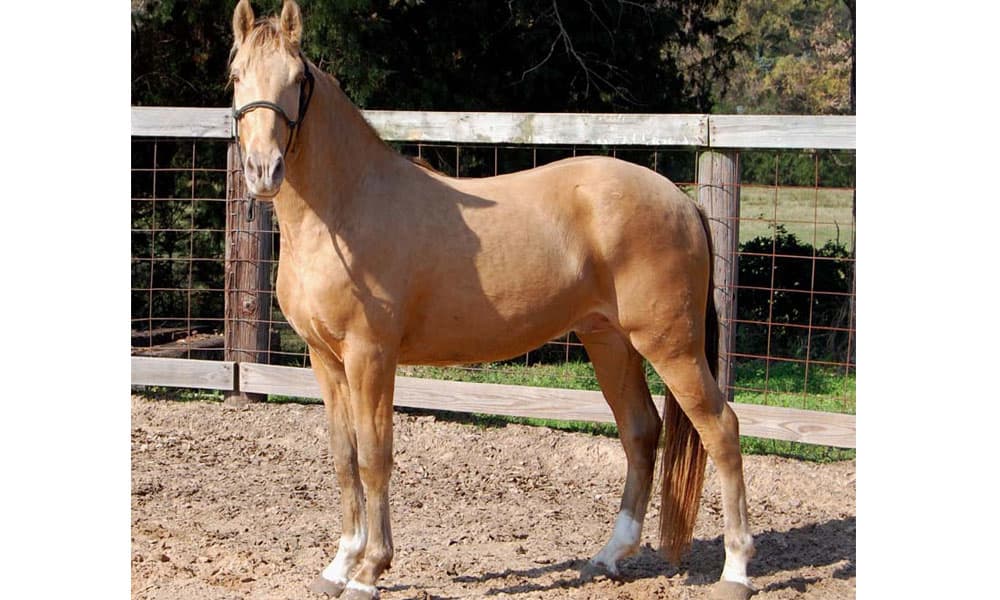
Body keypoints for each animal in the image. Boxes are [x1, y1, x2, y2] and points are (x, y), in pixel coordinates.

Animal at [228, 2, 754, 599]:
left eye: (297, 79)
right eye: (237, 76)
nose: (263, 171)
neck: (346, 208)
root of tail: (683, 202)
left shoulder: (370, 357)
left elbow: (375, 458)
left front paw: (369, 571)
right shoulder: (325, 358)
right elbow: (344, 458)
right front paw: (340, 564)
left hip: (671, 345)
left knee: (722, 429)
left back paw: (736, 570)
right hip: (609, 341)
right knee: (642, 432)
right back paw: (607, 557)